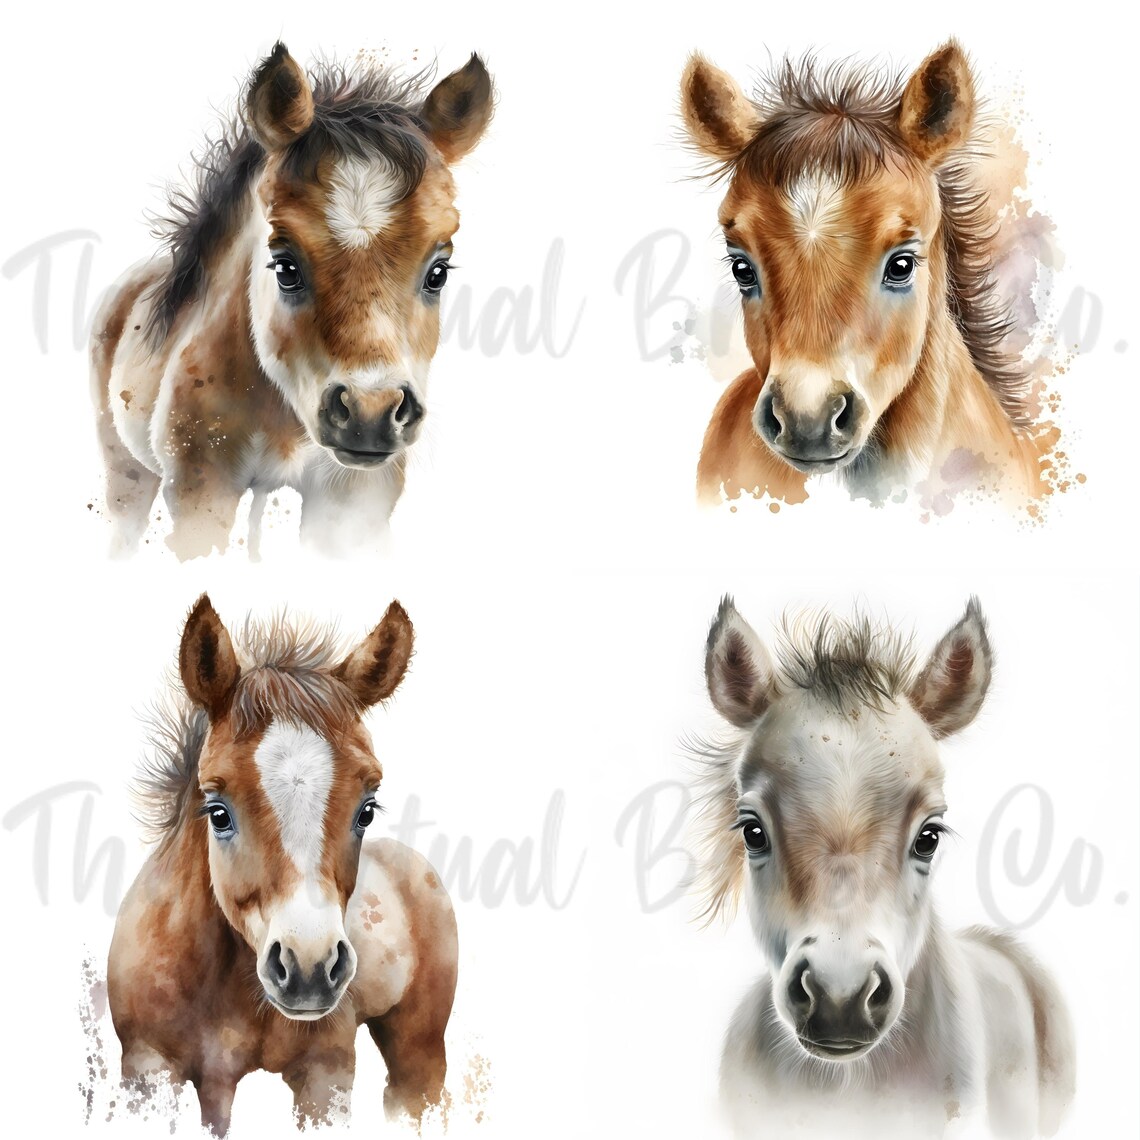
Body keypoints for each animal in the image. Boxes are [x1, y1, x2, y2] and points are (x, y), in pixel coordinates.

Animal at [91, 42, 493, 558]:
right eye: (284, 267)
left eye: (438, 272)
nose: (371, 414)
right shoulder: (200, 494)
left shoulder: (355, 499)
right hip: (128, 473)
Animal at [108, 595, 457, 1135]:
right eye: (218, 812)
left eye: (366, 809)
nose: (309, 968)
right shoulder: (150, 1070)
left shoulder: (324, 1074)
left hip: (418, 1050)